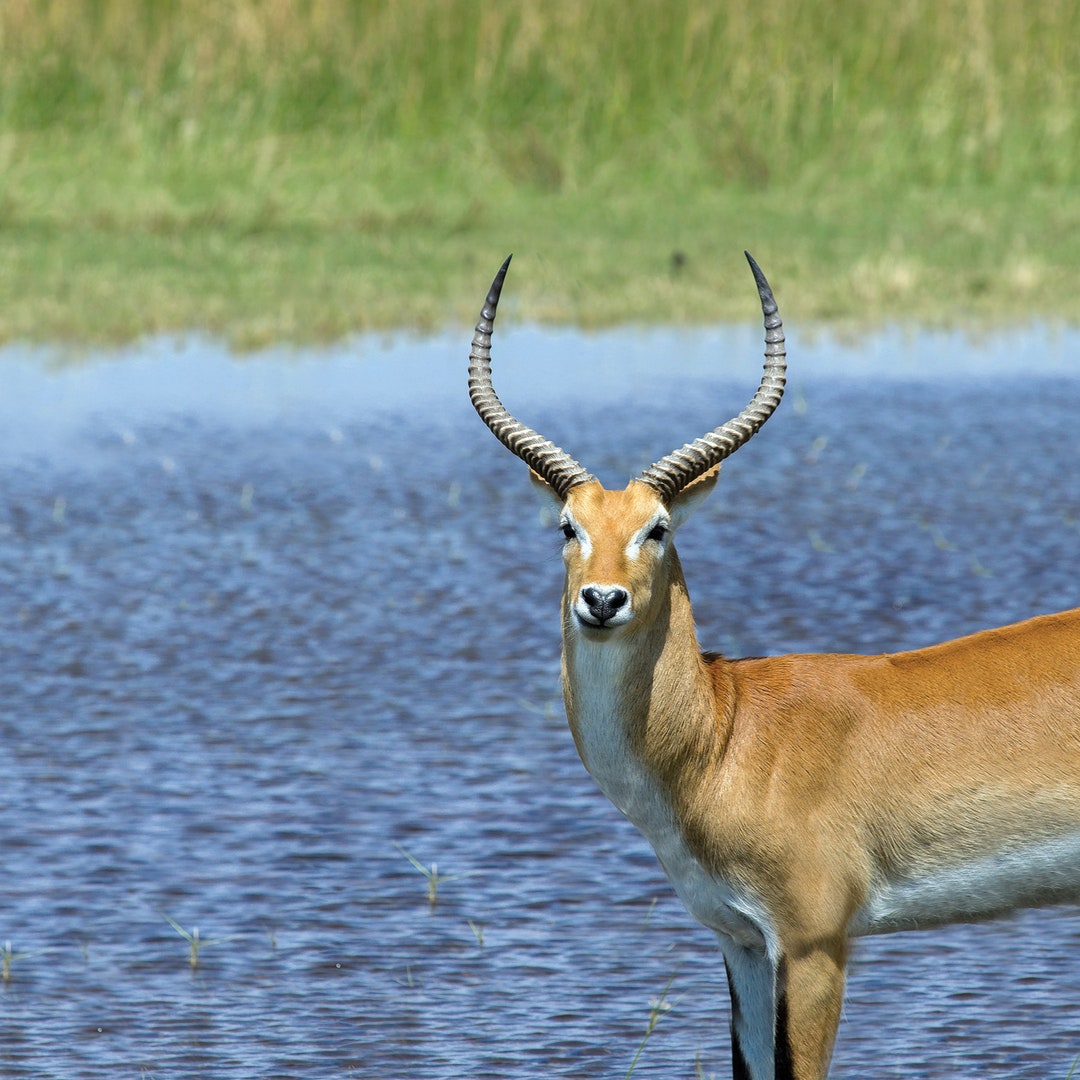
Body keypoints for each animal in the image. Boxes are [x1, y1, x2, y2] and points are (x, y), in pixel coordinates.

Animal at [467, 253, 1080, 1079]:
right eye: (569, 526)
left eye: (657, 528)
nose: (601, 599)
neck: (724, 738)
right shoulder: (741, 943)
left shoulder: (813, 944)